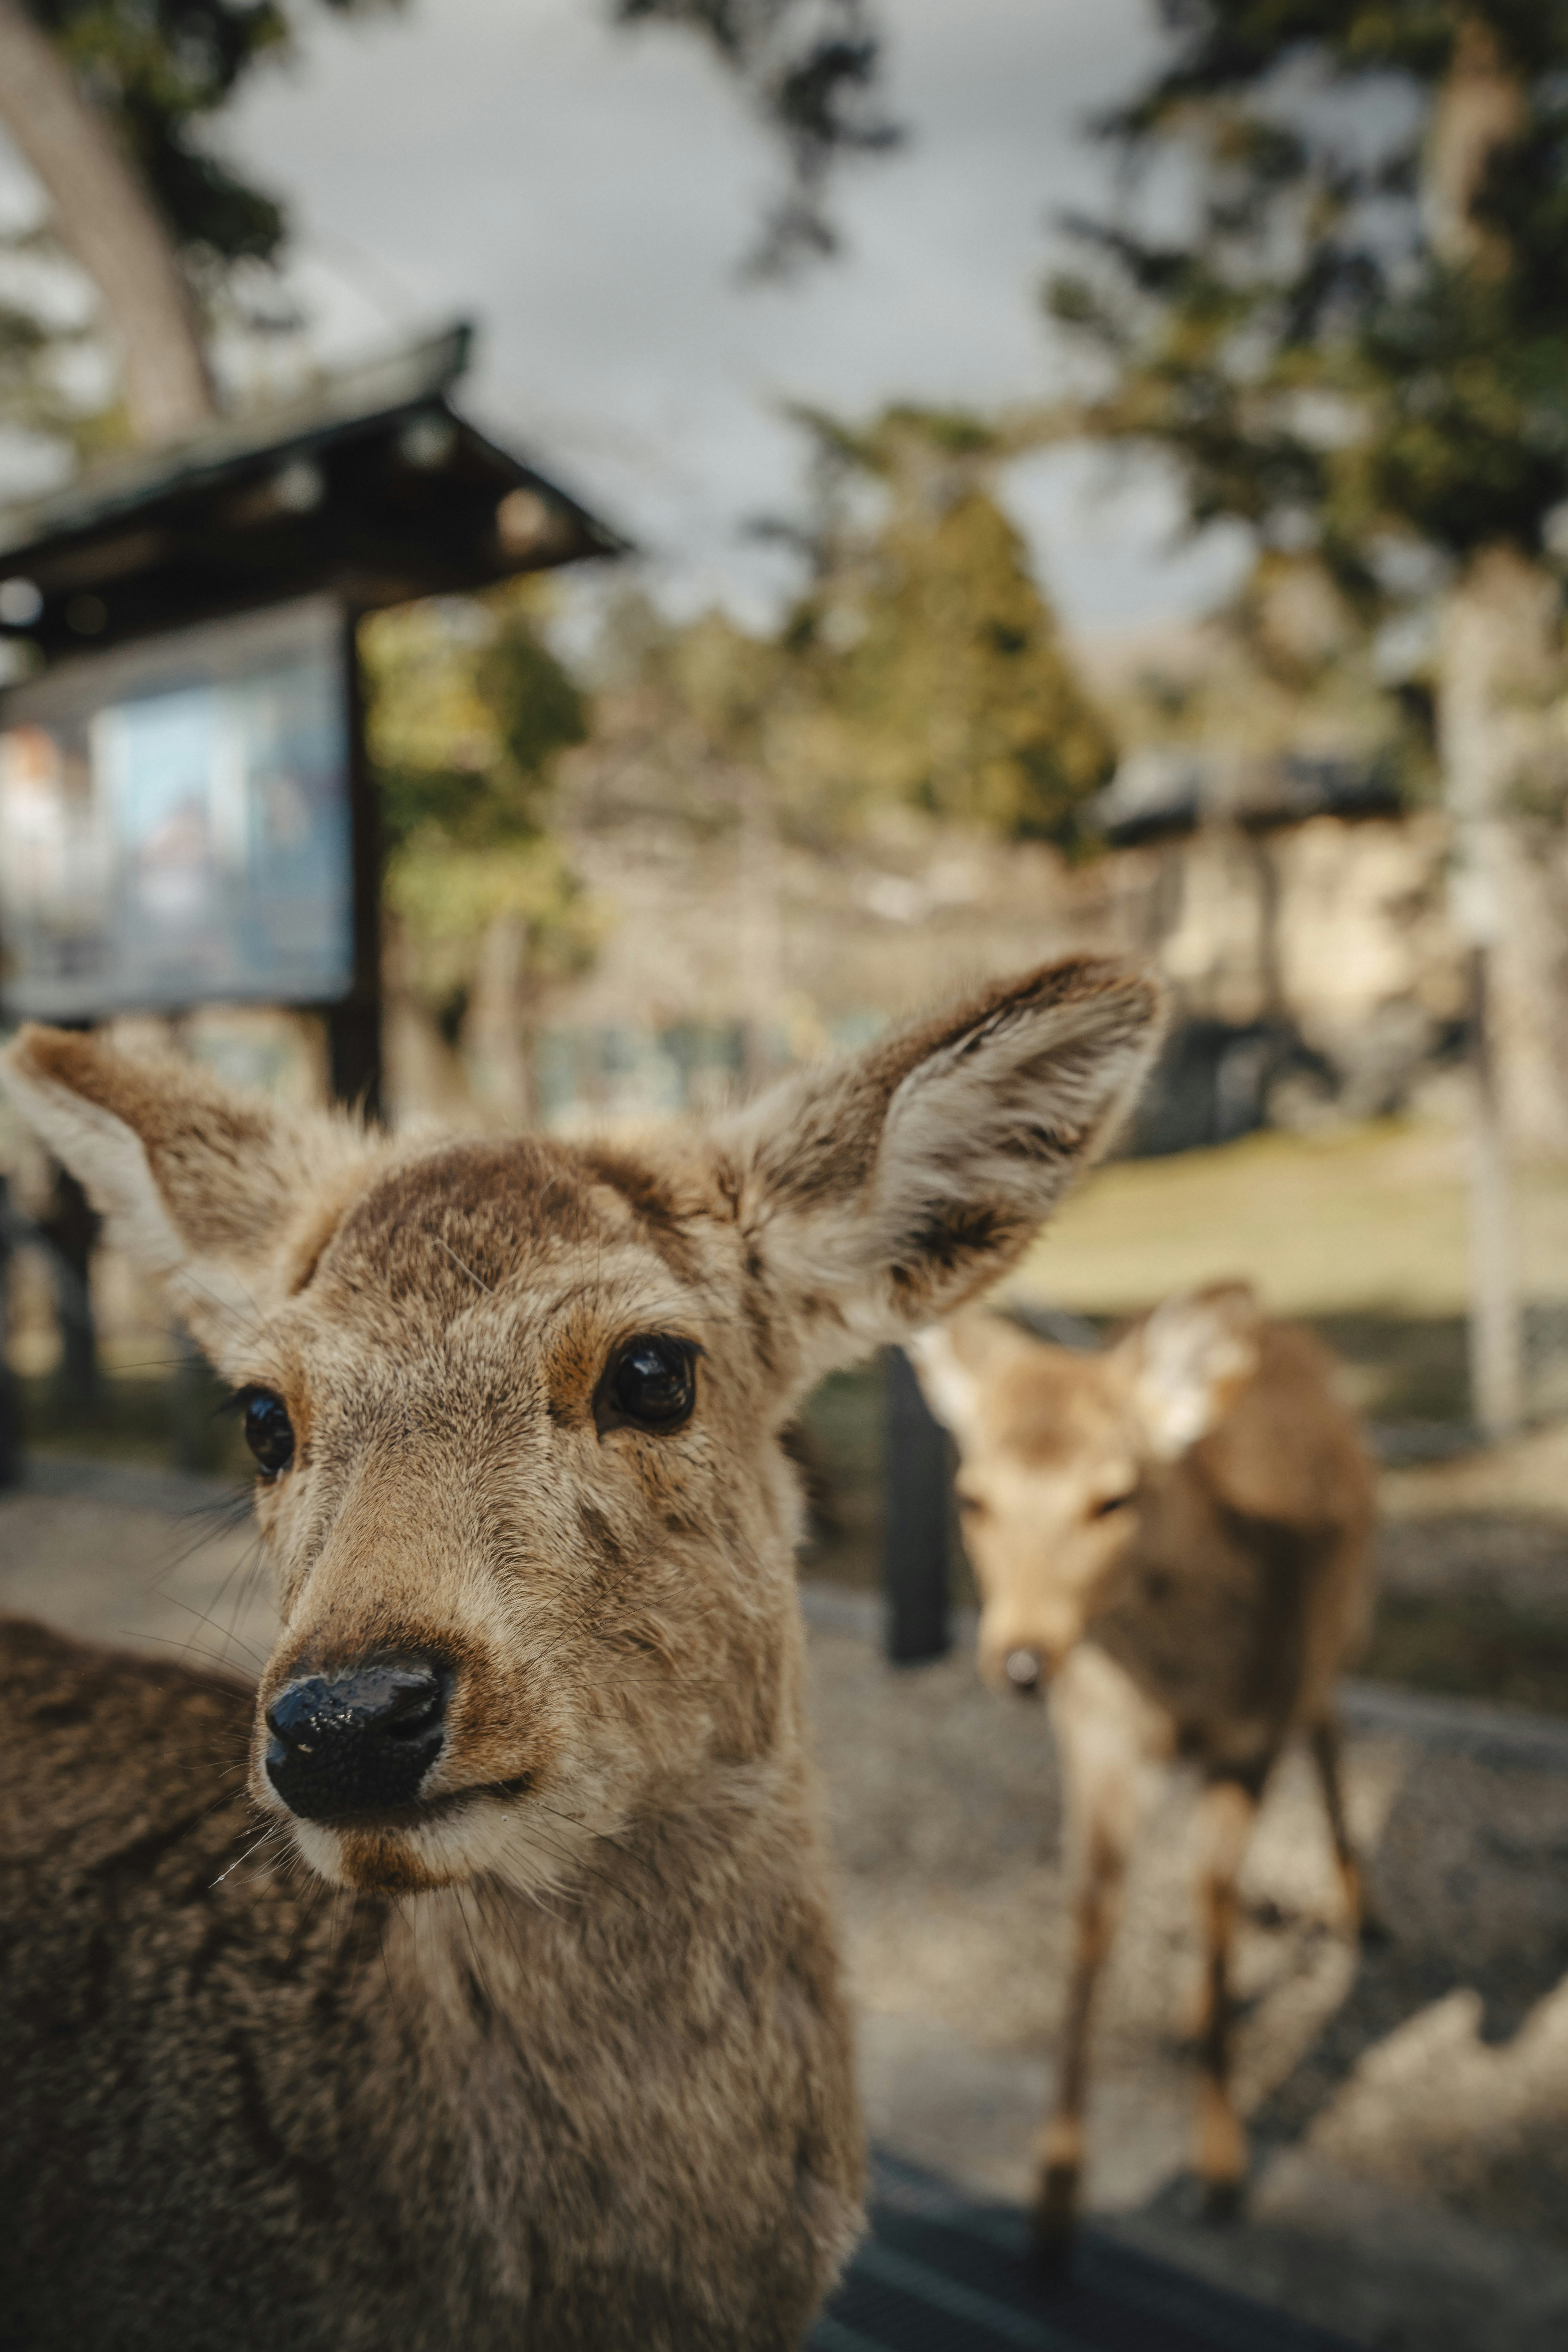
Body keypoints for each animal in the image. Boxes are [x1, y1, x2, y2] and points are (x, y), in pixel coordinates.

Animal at [909, 1283, 1376, 2264]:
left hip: (1343, 1630)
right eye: (972, 1497)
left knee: (1329, 1721)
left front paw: (1221, 2171)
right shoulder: (1097, 1736)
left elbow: (1215, 1907)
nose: (1022, 1662)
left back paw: (1363, 1910)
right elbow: (1092, 1916)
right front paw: (1052, 2196)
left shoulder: (1249, 1734)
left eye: (1113, 1496)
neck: (1181, 1683)